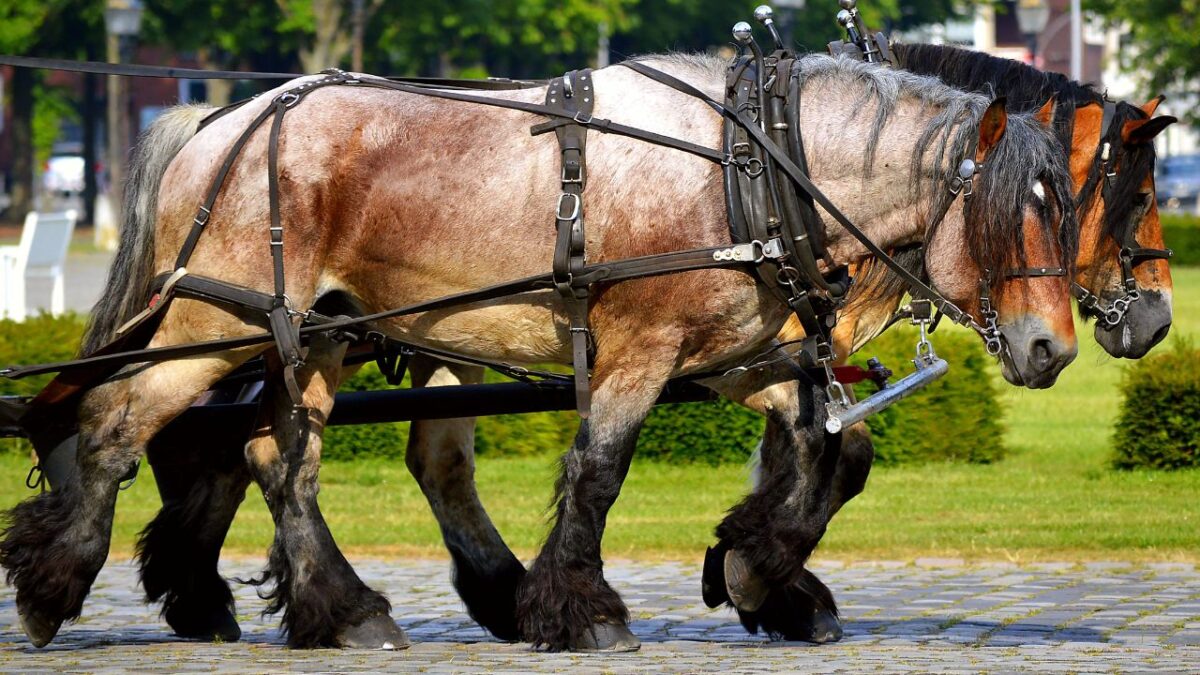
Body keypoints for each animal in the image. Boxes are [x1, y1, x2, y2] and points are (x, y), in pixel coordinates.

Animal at [2, 53, 1078, 651]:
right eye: (1002, 218)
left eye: (1068, 215)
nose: (1055, 349)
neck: (750, 165)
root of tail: (222, 119)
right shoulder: (644, 351)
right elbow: (597, 472)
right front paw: (582, 609)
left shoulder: (736, 357)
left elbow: (831, 451)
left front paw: (756, 568)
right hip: (214, 322)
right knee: (115, 424)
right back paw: (56, 583)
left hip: (314, 334)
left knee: (279, 456)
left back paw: (341, 609)